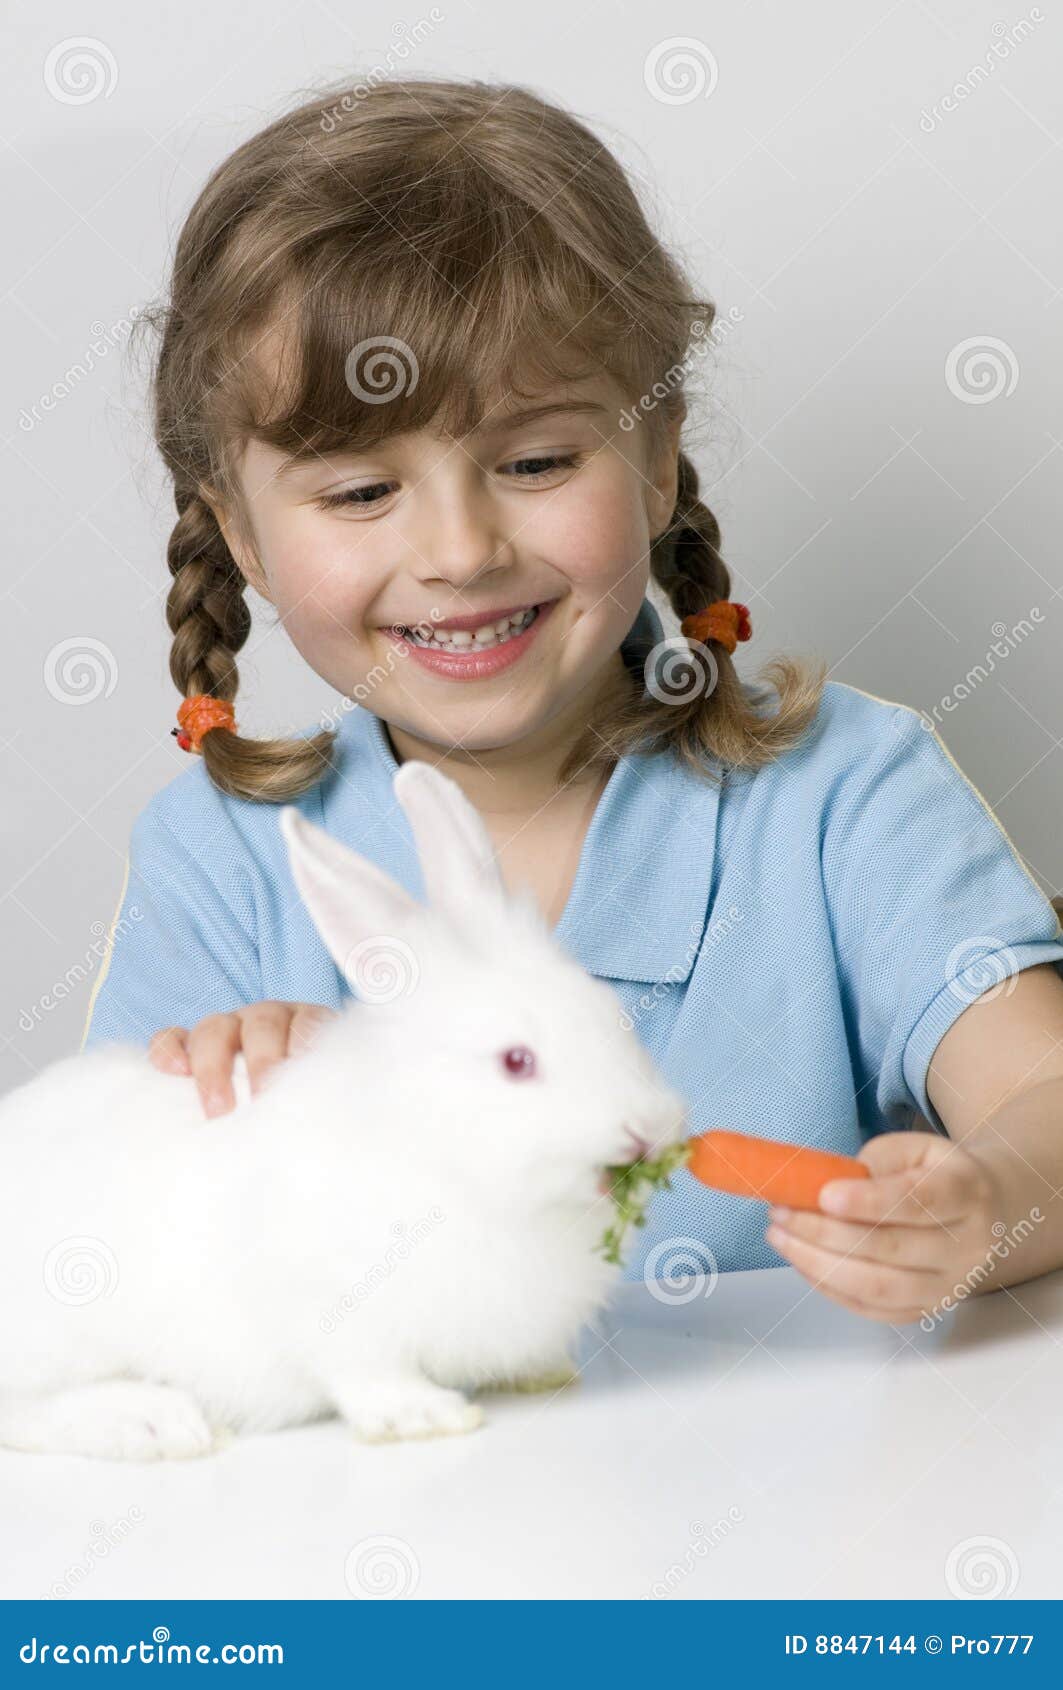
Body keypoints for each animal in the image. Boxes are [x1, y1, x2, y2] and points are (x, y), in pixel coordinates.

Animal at [0, 758, 689, 1460]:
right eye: (516, 1062)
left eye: (611, 1014)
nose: (649, 1129)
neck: (435, 1151)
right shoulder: (336, 1308)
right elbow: (365, 1371)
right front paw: (424, 1418)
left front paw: (543, 1374)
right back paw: (158, 1423)